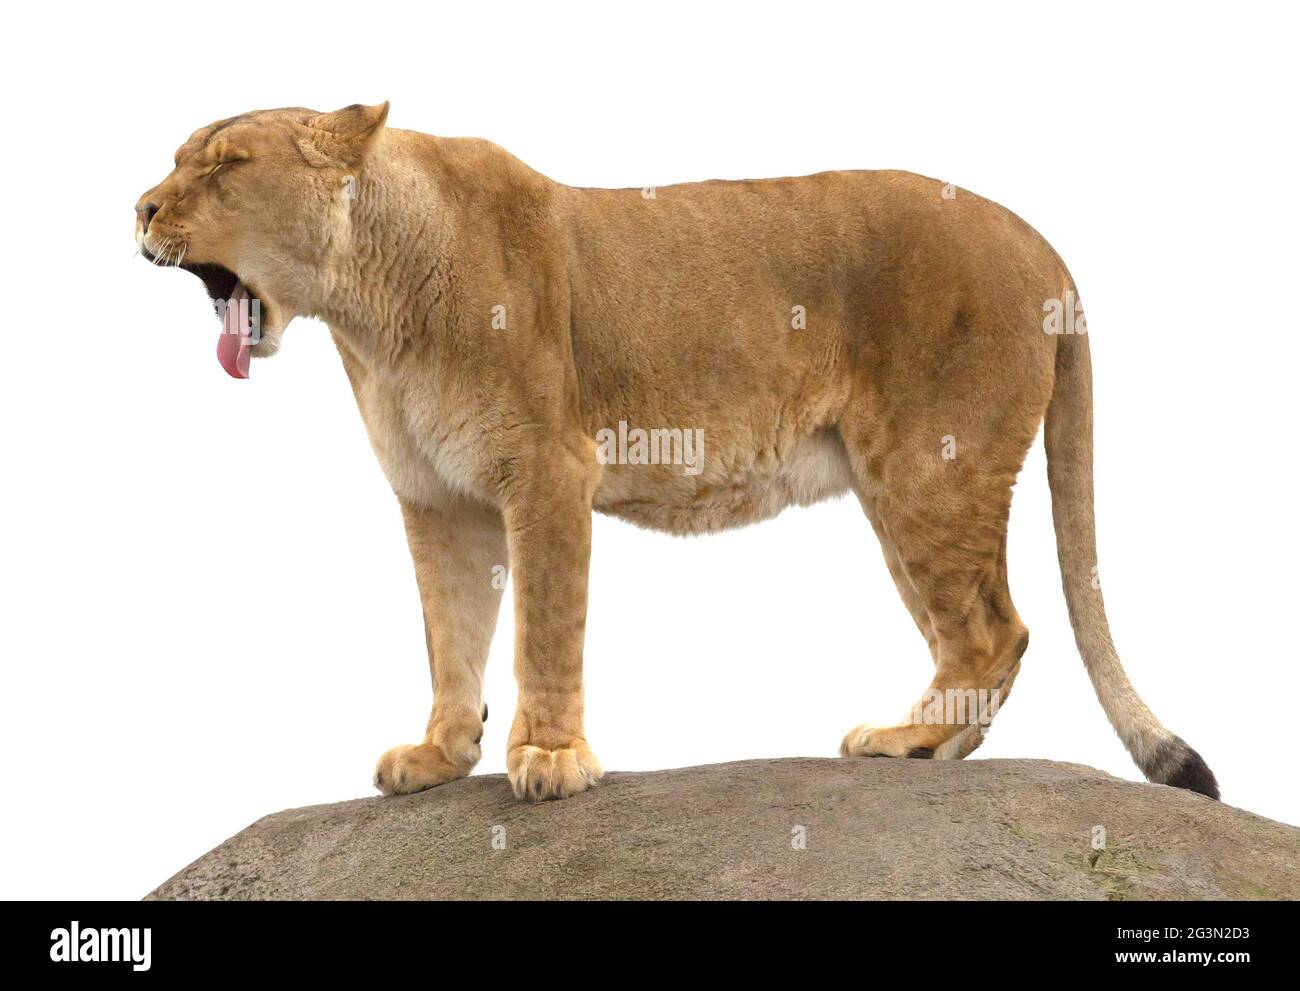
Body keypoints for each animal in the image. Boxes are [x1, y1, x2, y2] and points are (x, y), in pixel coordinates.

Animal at [135, 102, 1218, 802]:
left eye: (224, 165)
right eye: (180, 158)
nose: (139, 207)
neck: (369, 309)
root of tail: (1044, 245)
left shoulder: (548, 469)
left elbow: (542, 627)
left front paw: (551, 760)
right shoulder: (439, 498)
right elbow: (453, 633)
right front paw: (442, 754)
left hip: (924, 472)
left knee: (998, 630)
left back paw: (906, 741)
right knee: (980, 635)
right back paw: (926, 746)